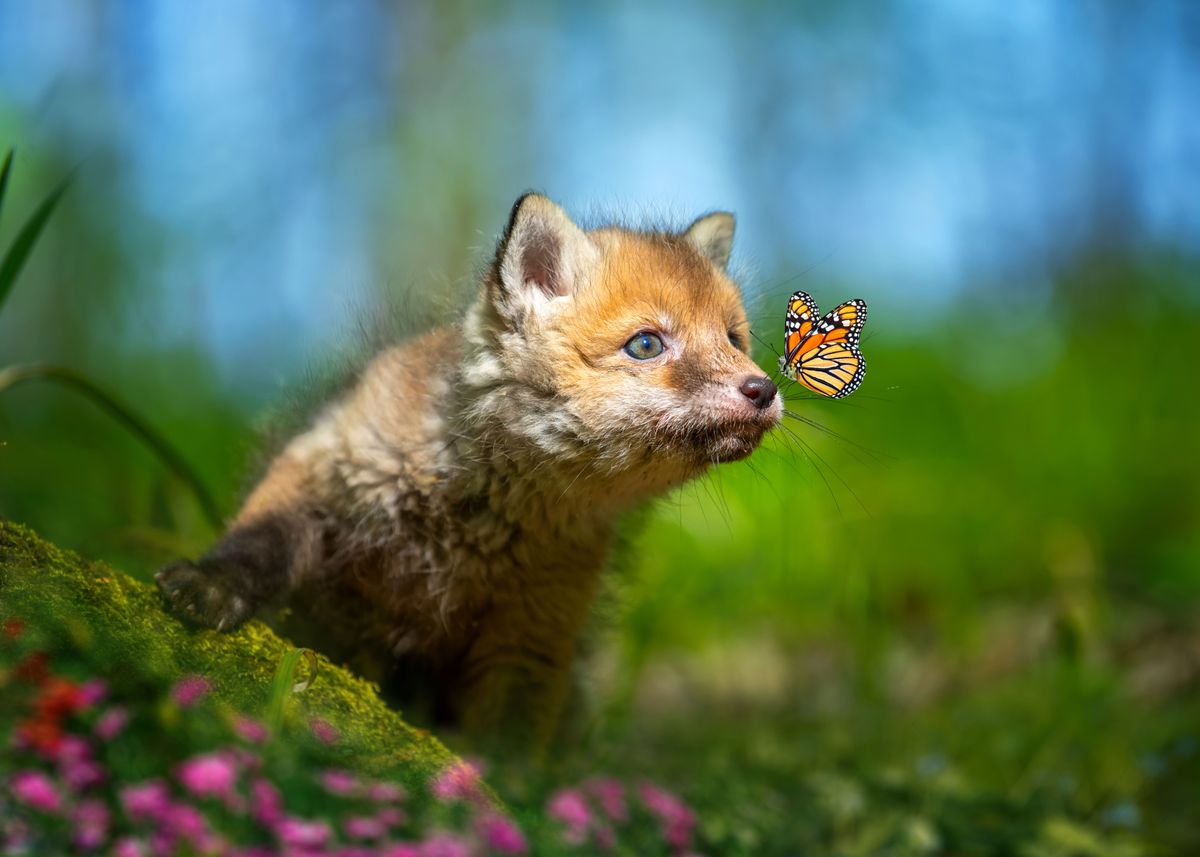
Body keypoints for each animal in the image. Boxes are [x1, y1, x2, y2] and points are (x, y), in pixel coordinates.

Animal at [155, 193, 782, 746]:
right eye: (647, 344)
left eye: (733, 338)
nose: (764, 390)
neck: (471, 518)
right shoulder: (321, 467)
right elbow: (259, 542)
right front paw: (209, 584)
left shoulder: (535, 627)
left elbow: (507, 746)